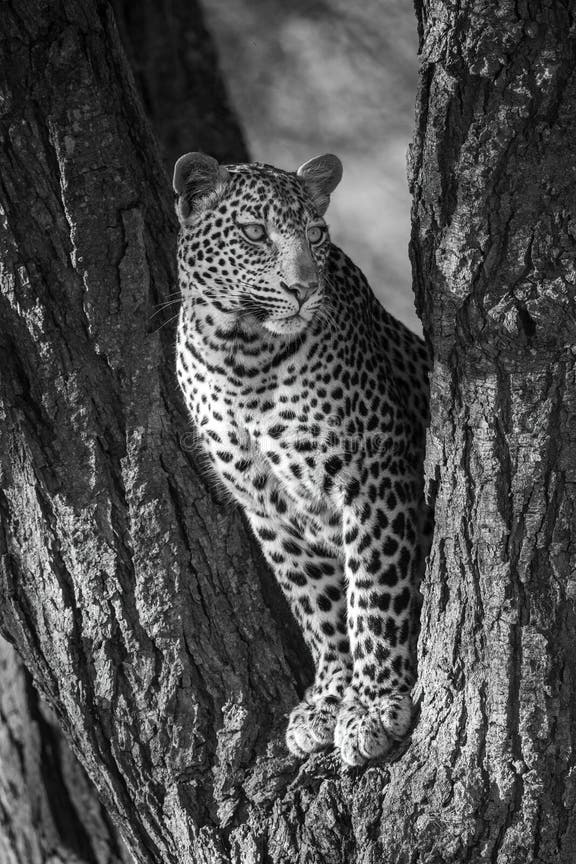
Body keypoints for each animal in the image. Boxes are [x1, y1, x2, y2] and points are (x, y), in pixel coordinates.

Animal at [173, 151, 430, 766]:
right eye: (253, 233)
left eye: (314, 234)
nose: (302, 289)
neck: (239, 353)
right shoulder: (267, 505)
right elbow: (317, 601)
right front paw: (330, 697)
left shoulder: (373, 471)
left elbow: (372, 591)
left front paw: (373, 705)